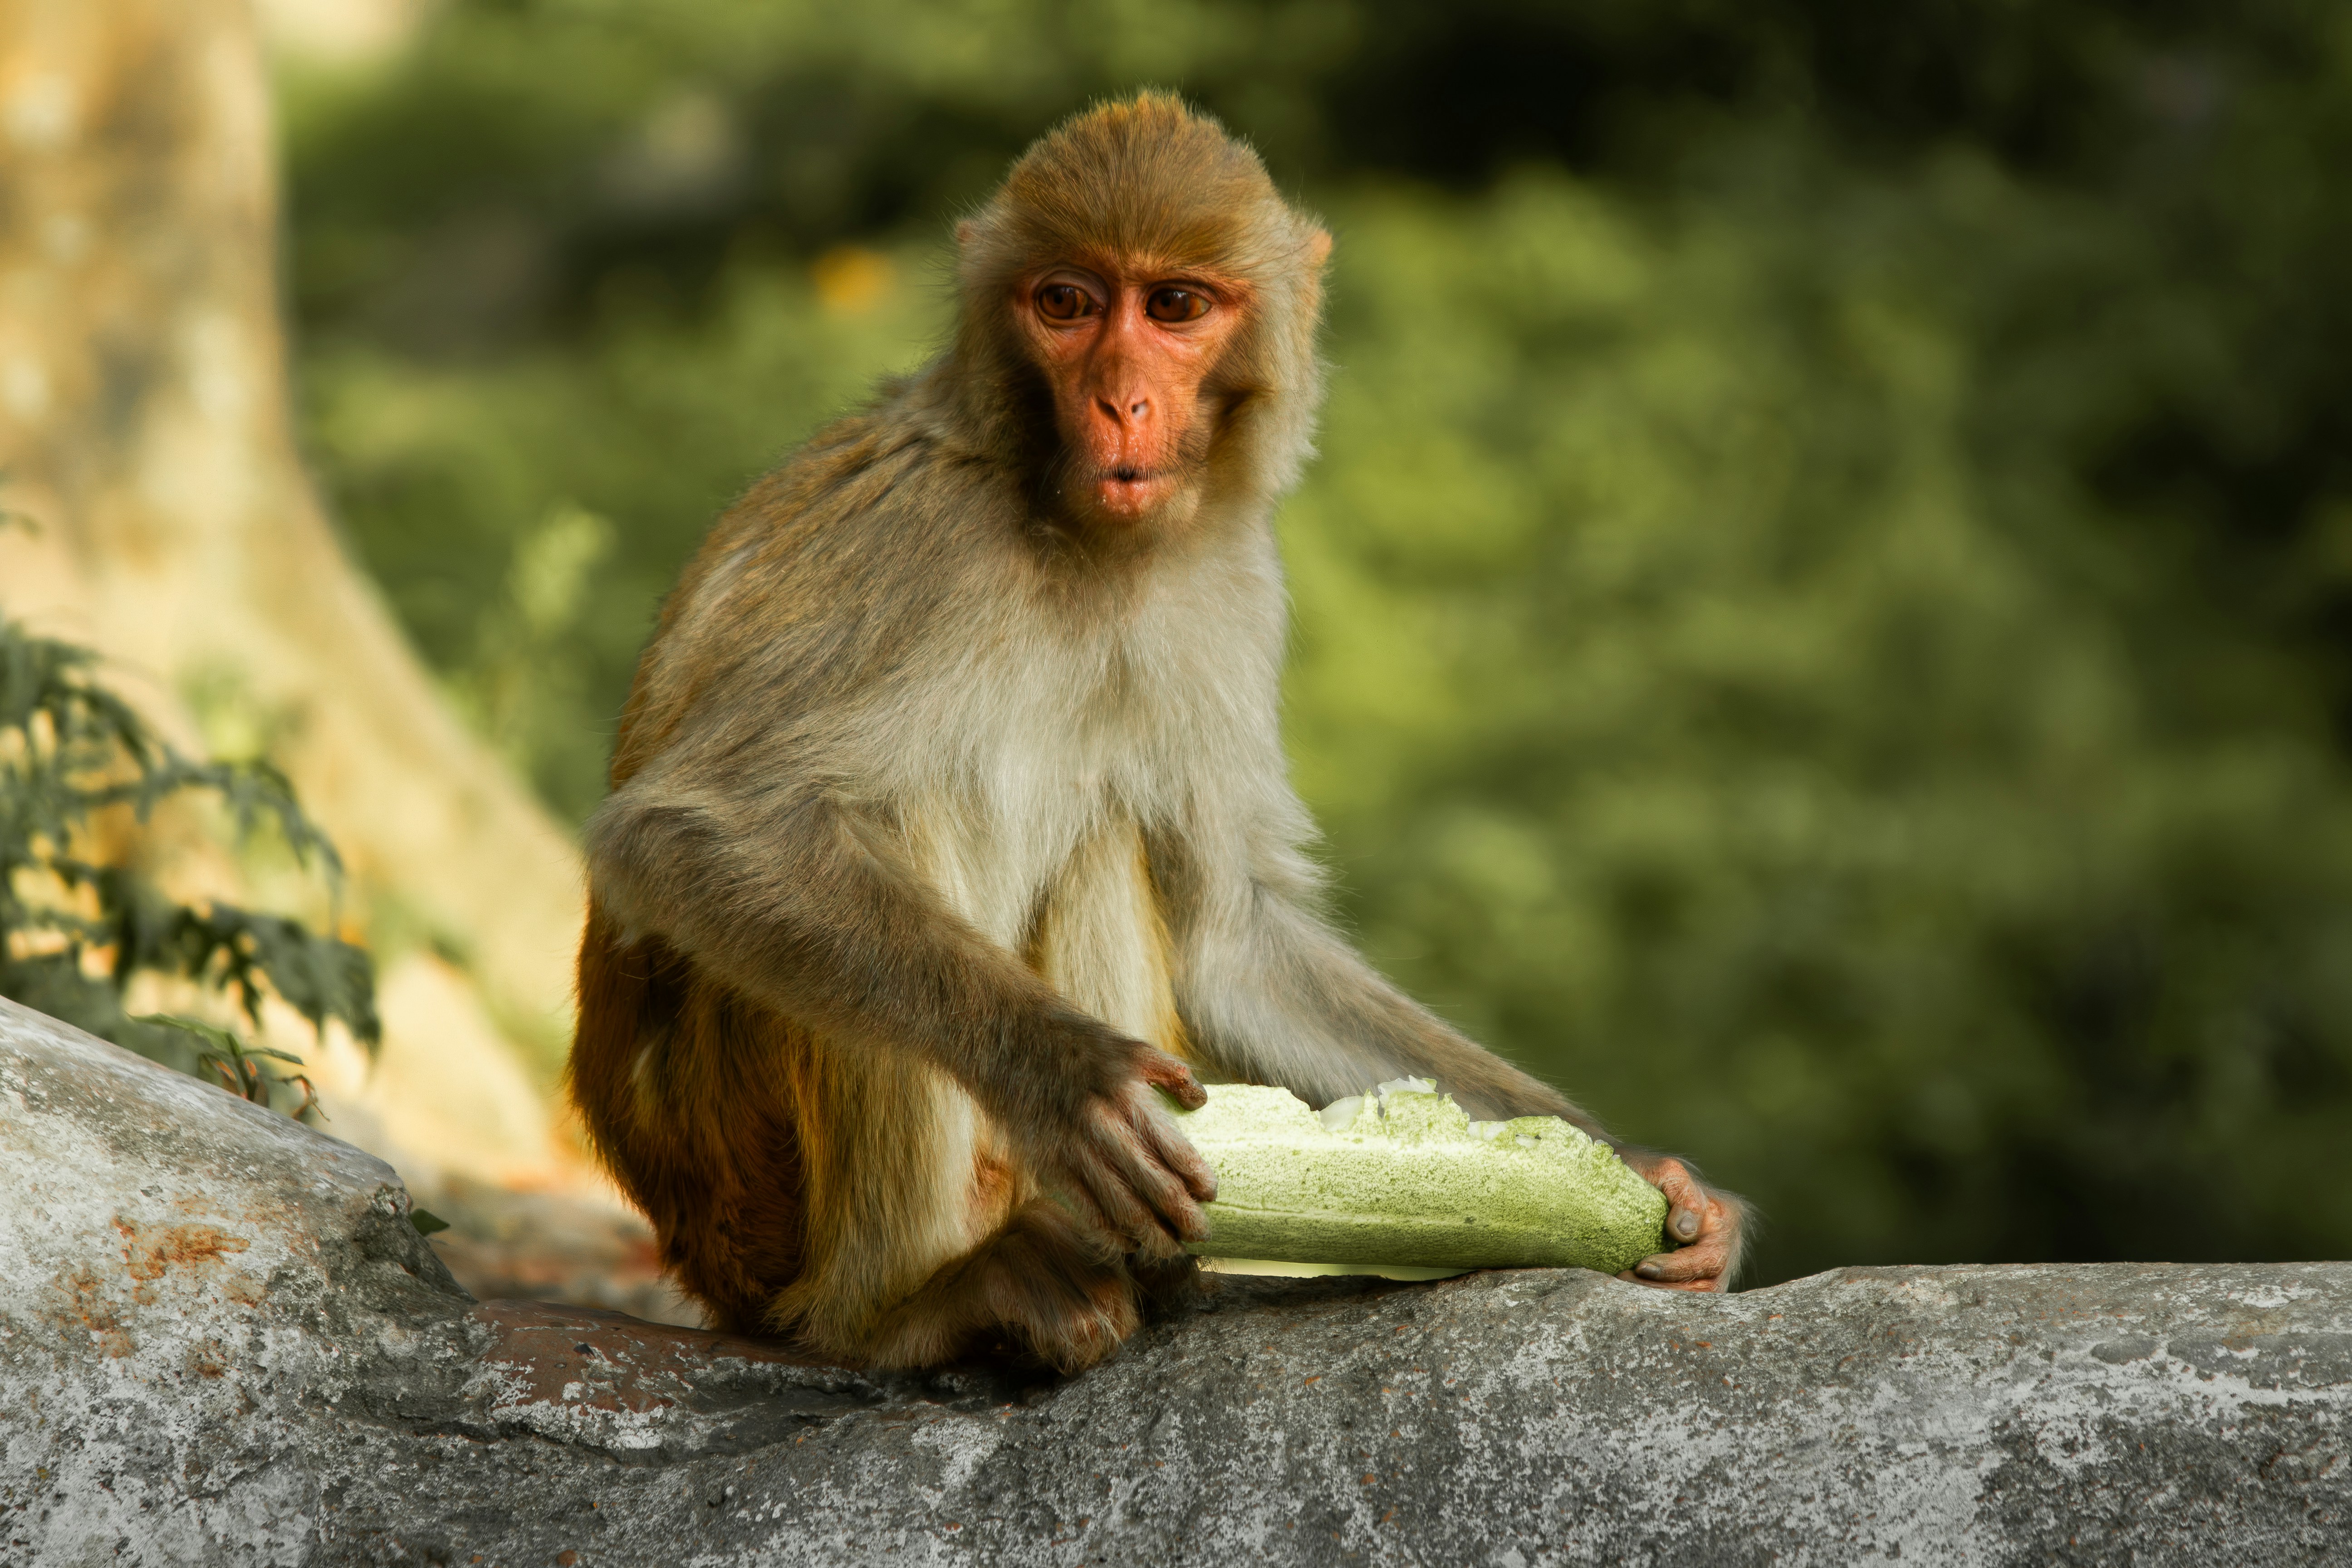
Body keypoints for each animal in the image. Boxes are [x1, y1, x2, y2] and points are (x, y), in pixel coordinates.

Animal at [568, 93, 1745, 1373]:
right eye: (1068, 304)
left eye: (1174, 307)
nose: (1120, 400)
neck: (1072, 527)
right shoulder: (916, 542)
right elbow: (692, 829)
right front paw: (1068, 1076)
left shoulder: (1231, 584)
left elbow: (1230, 942)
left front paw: (1637, 1171)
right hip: (751, 1190)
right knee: (882, 822)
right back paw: (918, 1302)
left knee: (1102, 833)